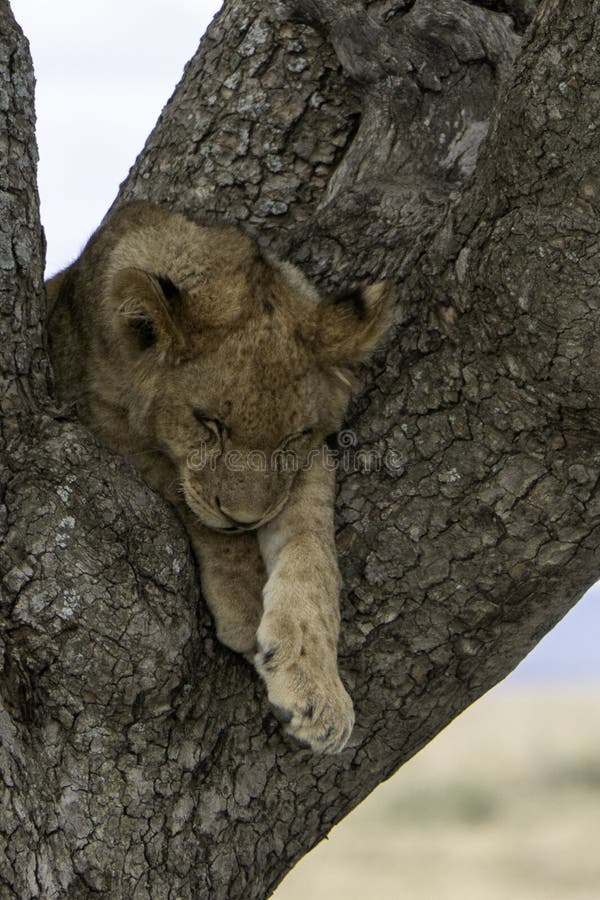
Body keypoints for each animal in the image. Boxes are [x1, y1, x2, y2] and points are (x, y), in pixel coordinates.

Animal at [46, 202, 393, 753]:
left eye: (292, 438)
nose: (246, 519)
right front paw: (247, 608)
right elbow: (198, 509)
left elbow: (313, 551)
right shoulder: (94, 415)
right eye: (209, 424)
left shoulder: (309, 460)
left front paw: (316, 689)